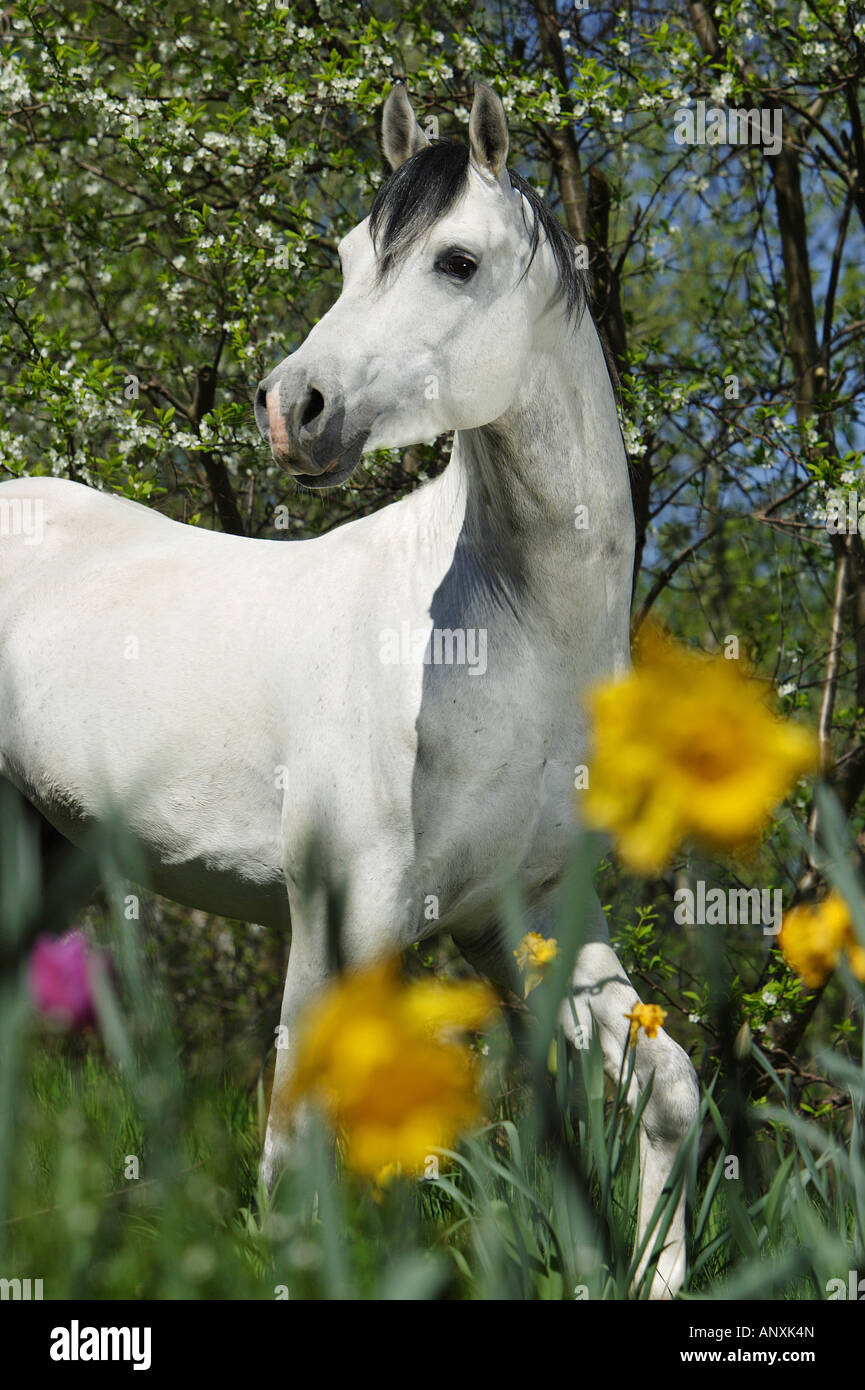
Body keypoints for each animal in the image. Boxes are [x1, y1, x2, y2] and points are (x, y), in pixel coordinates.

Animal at [0, 82, 699, 1297]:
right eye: (347, 254)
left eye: (456, 261)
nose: (294, 407)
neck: (495, 637)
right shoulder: (345, 917)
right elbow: (294, 1162)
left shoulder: (524, 914)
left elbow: (665, 1092)